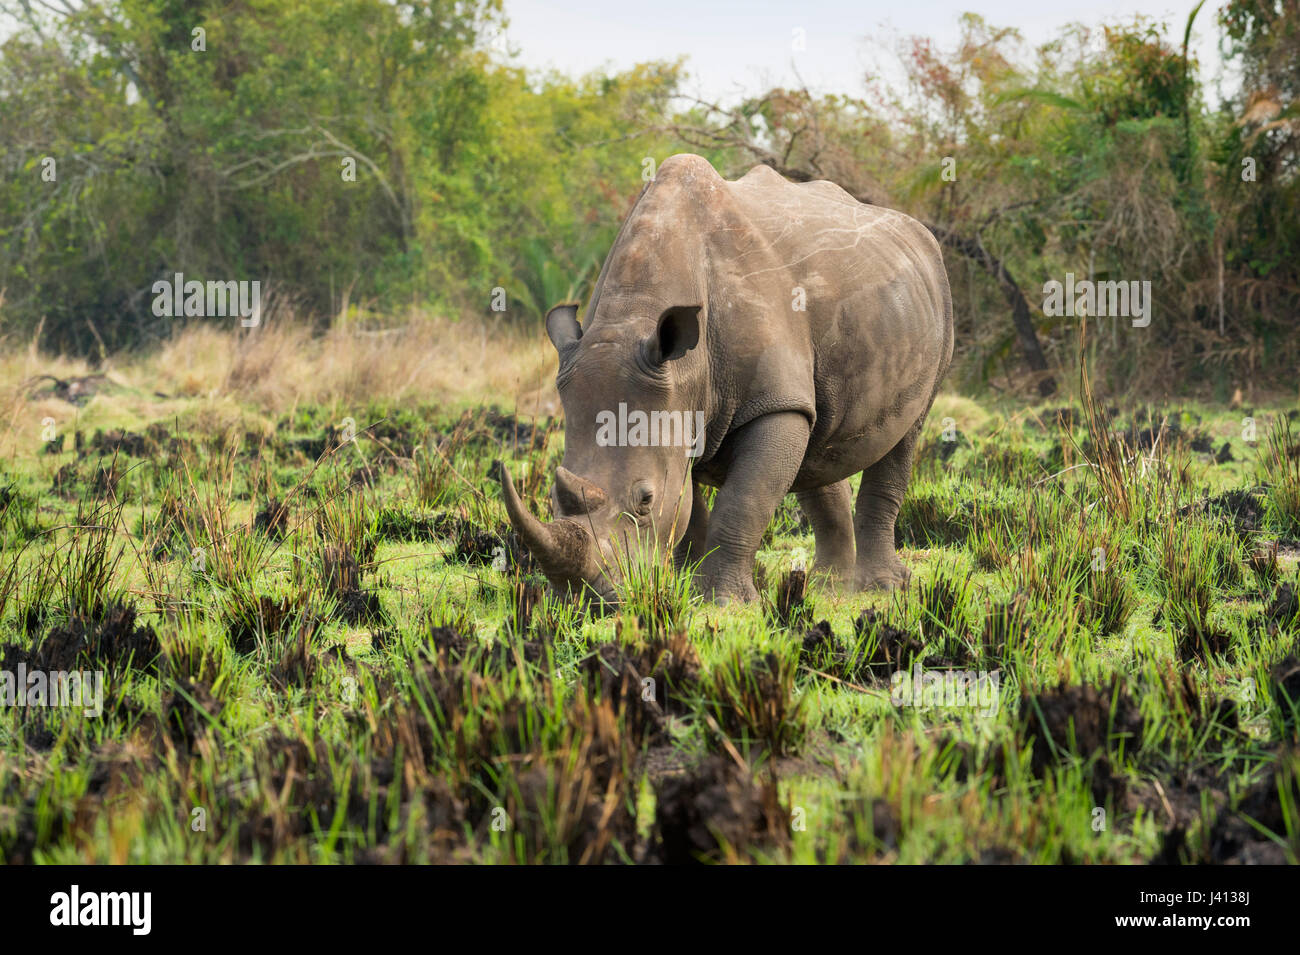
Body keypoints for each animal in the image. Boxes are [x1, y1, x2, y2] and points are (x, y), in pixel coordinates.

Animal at [497, 153, 953, 605]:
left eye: (644, 500)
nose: (589, 600)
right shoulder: (679, 404)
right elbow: (688, 509)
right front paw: (686, 591)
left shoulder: (770, 403)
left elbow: (743, 501)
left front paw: (726, 601)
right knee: (818, 435)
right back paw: (829, 588)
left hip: (937, 302)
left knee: (903, 435)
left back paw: (881, 587)